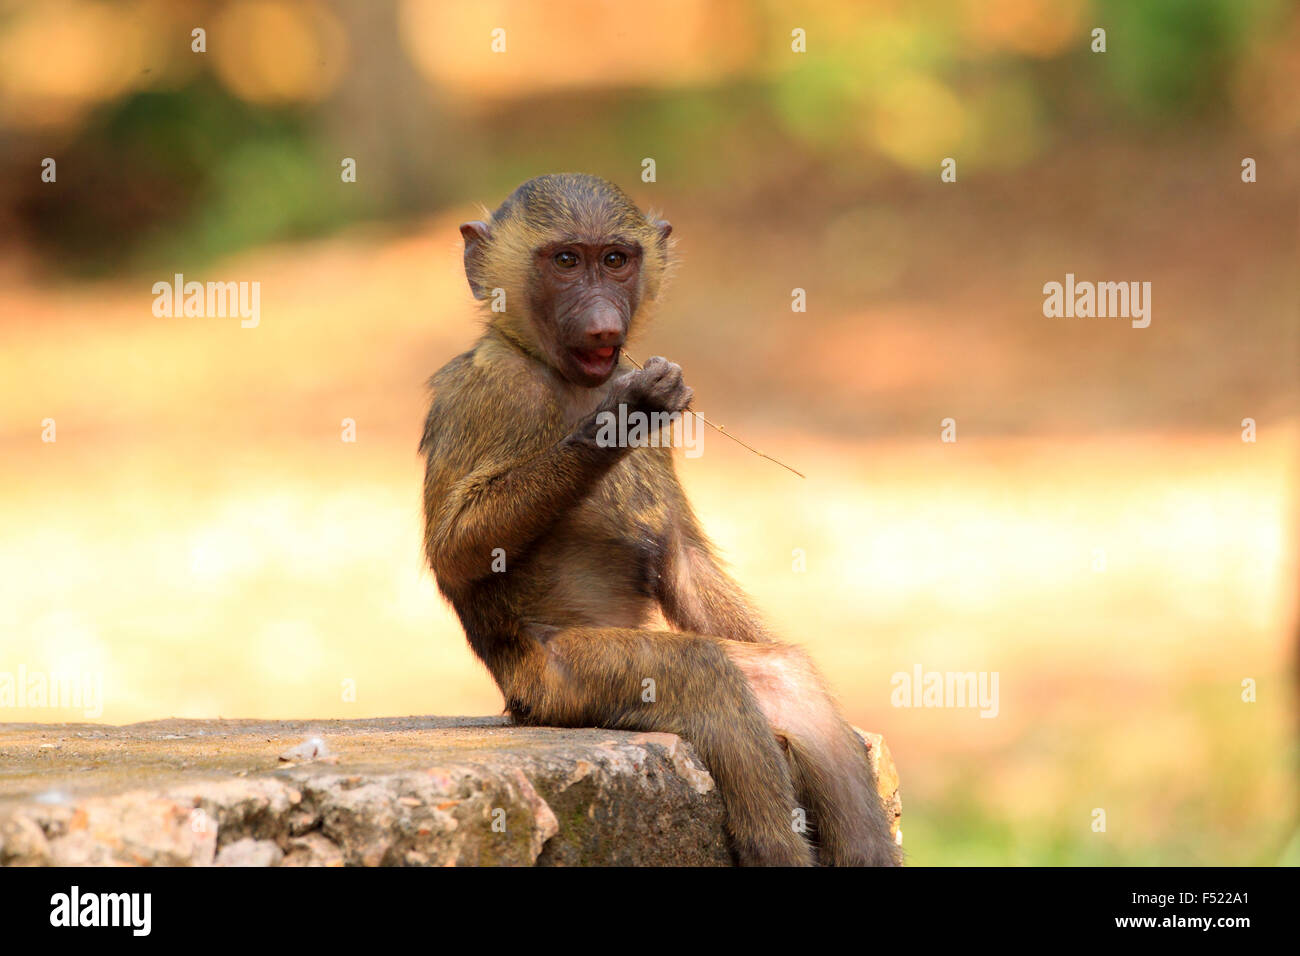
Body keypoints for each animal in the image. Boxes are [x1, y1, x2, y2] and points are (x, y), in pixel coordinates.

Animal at [420, 173, 901, 866]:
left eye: (615, 260)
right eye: (567, 261)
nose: (602, 323)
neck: (558, 372)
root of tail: (519, 703)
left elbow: (682, 558)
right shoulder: (486, 389)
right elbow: (455, 549)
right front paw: (619, 420)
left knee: (784, 679)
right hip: (564, 684)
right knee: (704, 677)